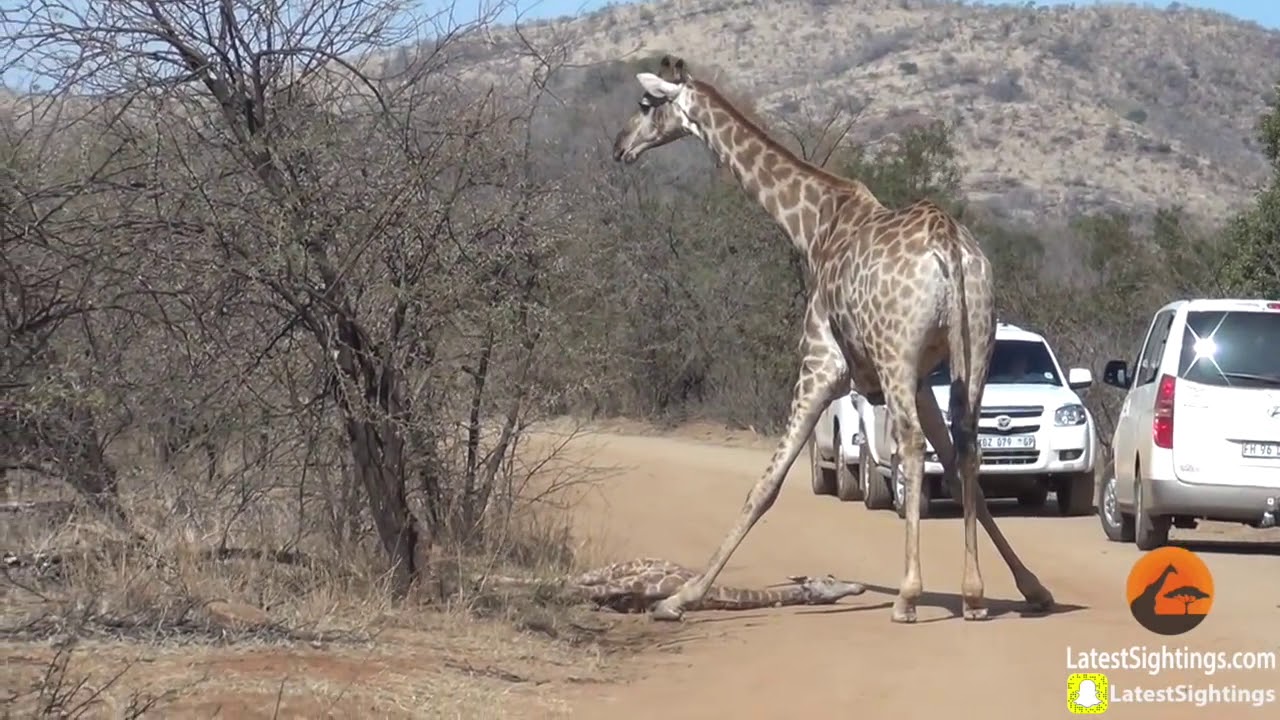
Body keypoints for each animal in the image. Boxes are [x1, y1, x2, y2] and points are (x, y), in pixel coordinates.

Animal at [610, 55, 1055, 623]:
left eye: (647, 104)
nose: (619, 146)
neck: (812, 225)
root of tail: (949, 248)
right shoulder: (925, 377)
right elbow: (957, 467)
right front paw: (1021, 587)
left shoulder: (822, 363)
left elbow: (766, 485)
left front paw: (678, 598)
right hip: (975, 346)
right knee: (969, 446)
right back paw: (975, 596)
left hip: (894, 353)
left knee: (911, 445)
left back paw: (908, 594)